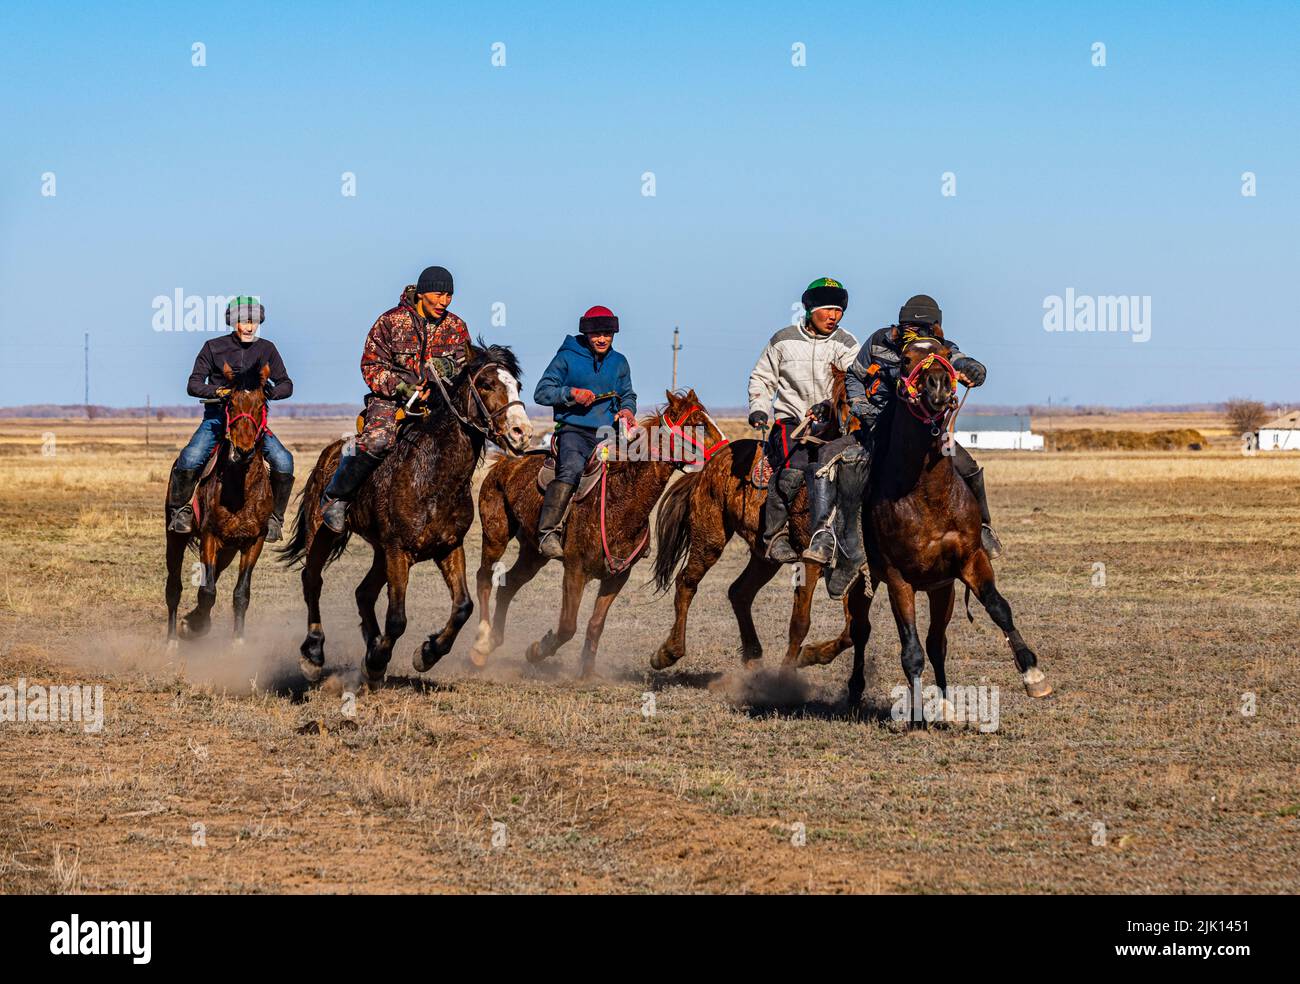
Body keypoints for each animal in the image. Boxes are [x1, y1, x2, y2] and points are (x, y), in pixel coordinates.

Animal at [164, 362, 275, 644]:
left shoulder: (253, 541)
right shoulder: (209, 537)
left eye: (261, 404)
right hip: (176, 538)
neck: (239, 488)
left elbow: (241, 593)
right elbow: (207, 592)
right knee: (173, 588)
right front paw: (194, 626)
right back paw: (171, 640)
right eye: (231, 404)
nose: (243, 451)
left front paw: (237, 642)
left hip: (229, 550)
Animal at [278, 341, 532, 685]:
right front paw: (376, 663)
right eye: (487, 384)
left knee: (363, 593)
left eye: (516, 385)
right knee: (312, 580)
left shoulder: (448, 547)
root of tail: (327, 457)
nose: (522, 432)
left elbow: (462, 607)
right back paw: (314, 655)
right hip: (324, 534)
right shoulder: (399, 551)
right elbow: (397, 618)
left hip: (379, 552)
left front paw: (425, 653)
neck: (433, 476)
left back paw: (371, 644)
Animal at [472, 389, 728, 678]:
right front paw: (536, 650)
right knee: (484, 578)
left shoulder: (617, 577)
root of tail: (505, 462)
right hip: (495, 537)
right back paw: (480, 646)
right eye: (698, 424)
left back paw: (493, 641)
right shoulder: (575, 571)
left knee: (510, 584)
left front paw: (587, 672)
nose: (726, 451)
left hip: (533, 554)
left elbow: (595, 624)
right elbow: (567, 626)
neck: (620, 500)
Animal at [648, 368, 857, 670]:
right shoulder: (810, 560)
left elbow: (853, 628)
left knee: (740, 592)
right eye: (841, 402)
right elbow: (800, 623)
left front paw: (812, 654)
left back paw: (753, 656)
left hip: (764, 556)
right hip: (710, 540)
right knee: (687, 582)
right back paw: (668, 652)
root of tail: (710, 465)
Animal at [798, 332, 1052, 717]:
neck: (926, 494)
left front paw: (1032, 674)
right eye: (905, 360)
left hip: (941, 588)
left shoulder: (969, 561)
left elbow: (998, 608)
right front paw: (917, 710)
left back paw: (944, 698)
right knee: (861, 631)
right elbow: (911, 649)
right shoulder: (897, 578)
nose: (938, 384)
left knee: (936, 642)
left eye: (947, 353)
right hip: (862, 582)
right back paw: (855, 689)